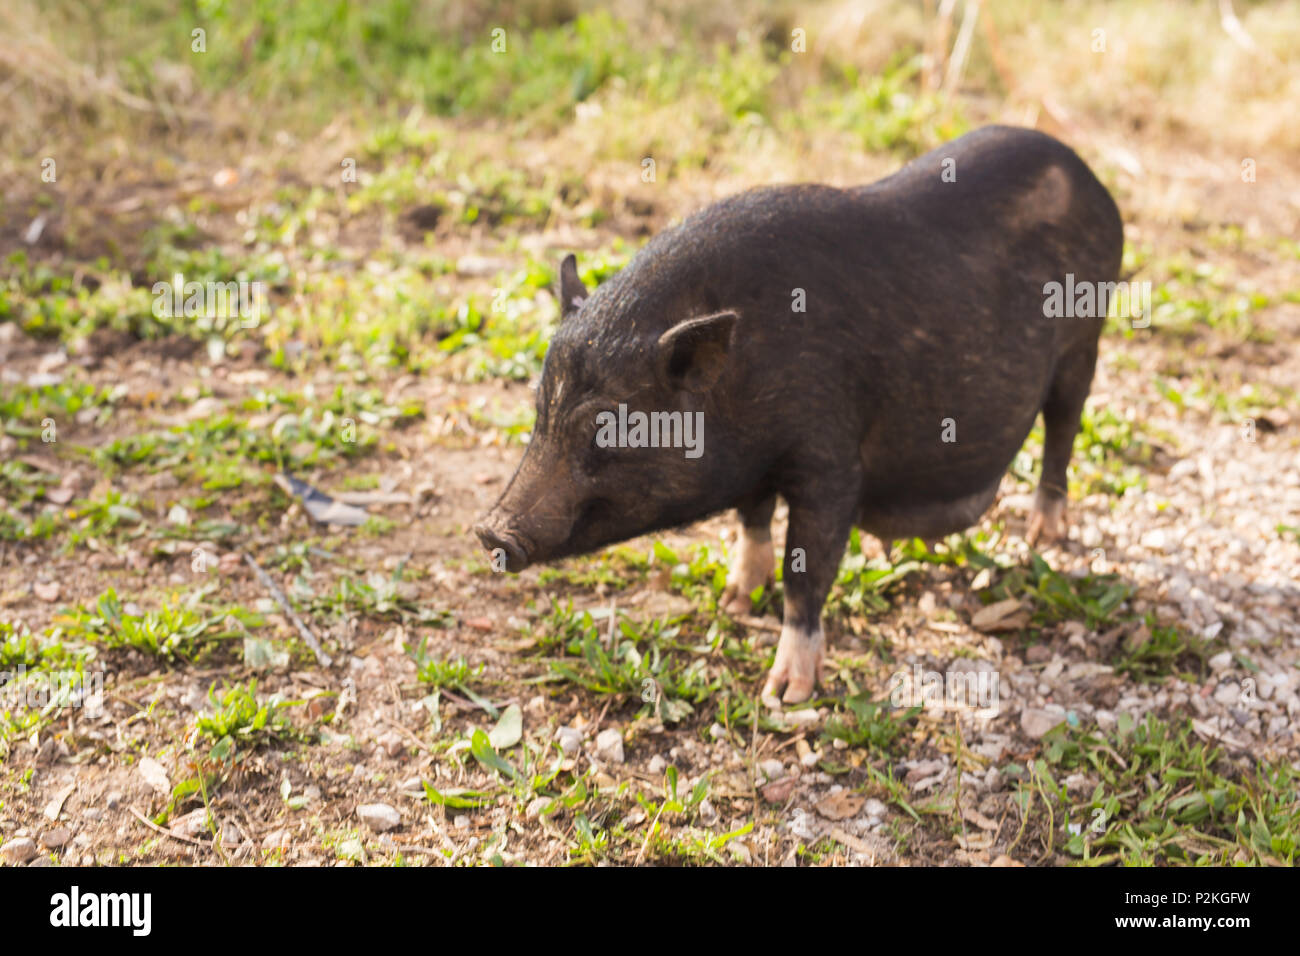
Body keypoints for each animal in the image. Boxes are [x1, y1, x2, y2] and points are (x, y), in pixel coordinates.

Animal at [474, 125, 1123, 705]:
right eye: (540, 409)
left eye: (607, 430)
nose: (490, 530)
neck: (745, 378)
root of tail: (1089, 174)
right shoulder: (756, 462)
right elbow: (752, 519)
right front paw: (734, 601)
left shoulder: (831, 455)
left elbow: (806, 569)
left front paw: (785, 693)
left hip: (1085, 339)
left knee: (1064, 429)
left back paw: (1043, 536)